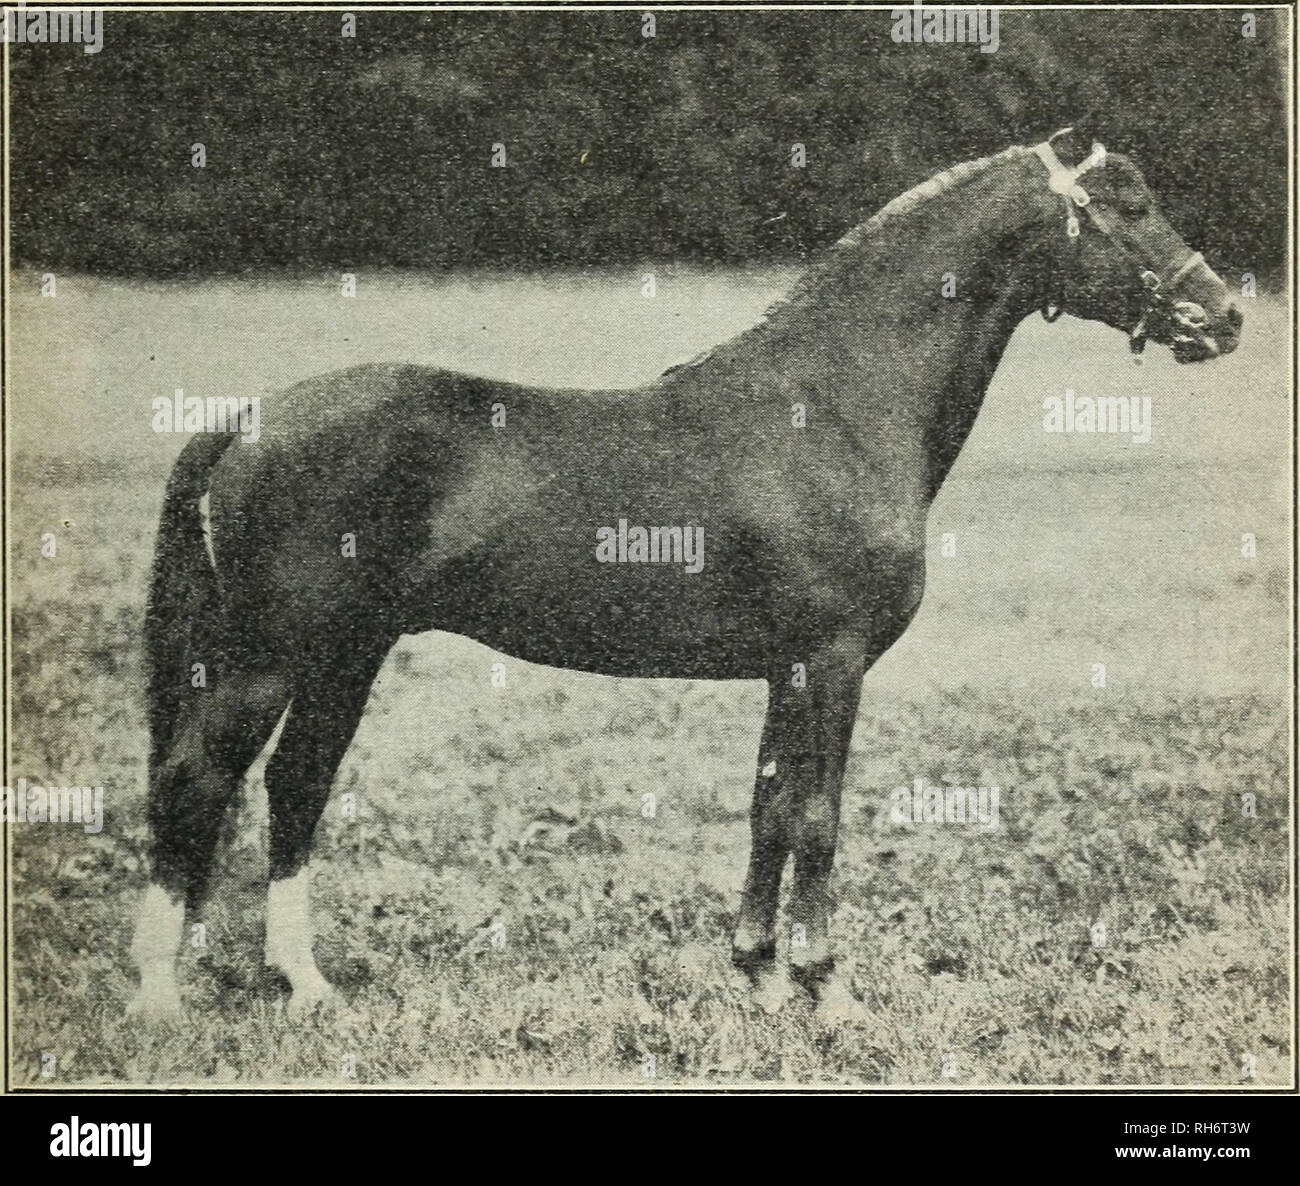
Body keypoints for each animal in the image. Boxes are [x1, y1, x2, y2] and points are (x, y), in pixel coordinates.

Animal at [127, 128, 1242, 1023]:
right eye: (1127, 205)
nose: (1225, 314)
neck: (833, 409)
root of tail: (244, 422)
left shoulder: (788, 669)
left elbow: (766, 809)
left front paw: (760, 973)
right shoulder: (833, 661)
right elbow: (818, 818)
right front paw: (829, 988)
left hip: (345, 656)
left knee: (295, 786)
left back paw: (305, 985)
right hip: (268, 660)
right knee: (195, 781)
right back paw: (158, 1002)